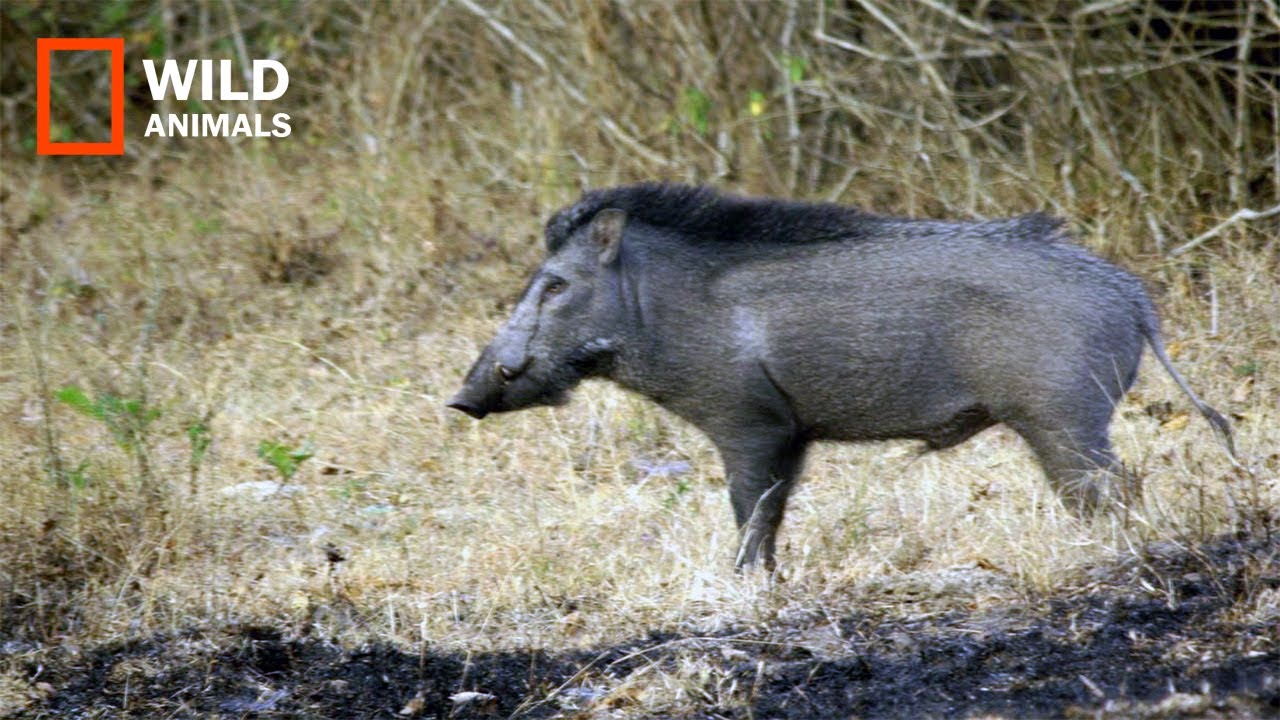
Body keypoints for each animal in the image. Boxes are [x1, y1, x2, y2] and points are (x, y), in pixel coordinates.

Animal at [448, 183, 1234, 570]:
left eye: (554, 284)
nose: (461, 399)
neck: (661, 312)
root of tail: (1134, 299)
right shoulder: (791, 435)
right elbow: (772, 516)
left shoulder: (747, 422)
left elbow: (750, 511)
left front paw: (743, 586)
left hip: (1064, 417)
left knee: (1110, 491)